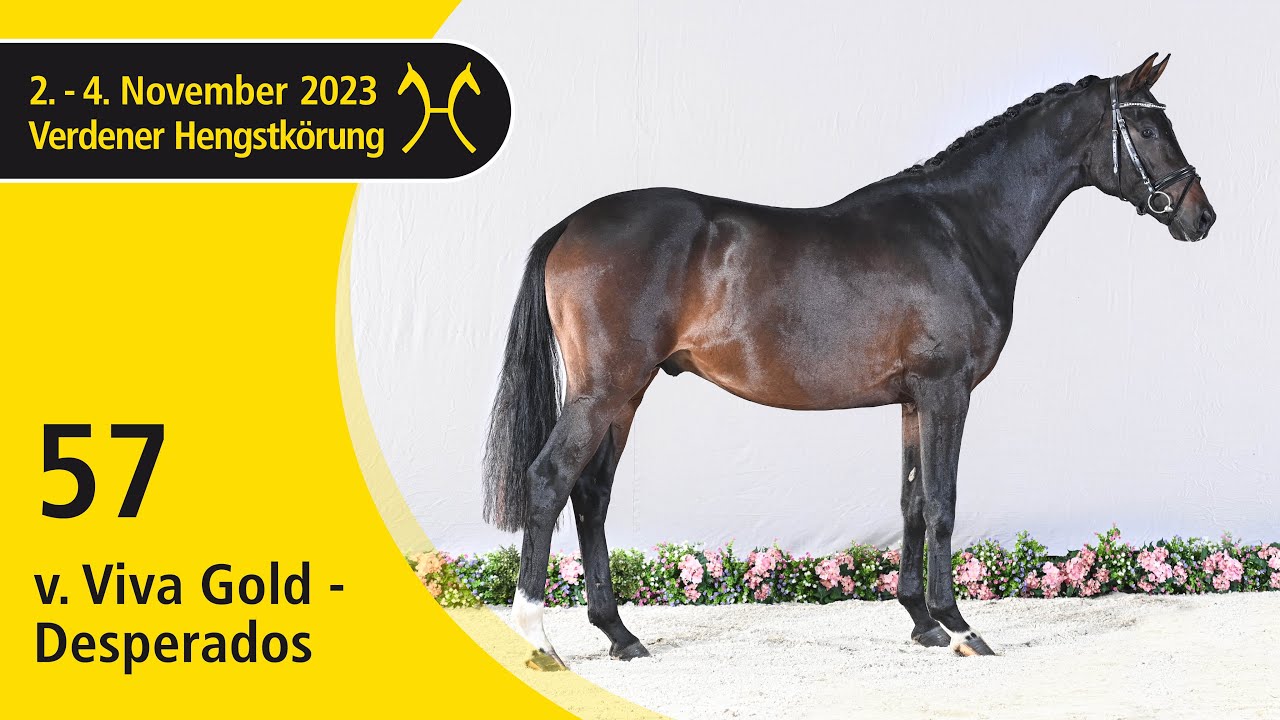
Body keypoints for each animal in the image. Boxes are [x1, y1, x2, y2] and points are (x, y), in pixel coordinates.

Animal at [481, 53, 1215, 669]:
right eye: (1148, 128)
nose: (1201, 217)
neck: (958, 226)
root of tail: (571, 224)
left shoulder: (914, 400)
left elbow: (912, 501)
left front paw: (922, 621)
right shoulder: (949, 391)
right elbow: (943, 502)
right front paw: (961, 627)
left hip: (624, 396)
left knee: (591, 494)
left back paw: (620, 634)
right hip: (605, 390)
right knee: (549, 481)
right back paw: (539, 638)